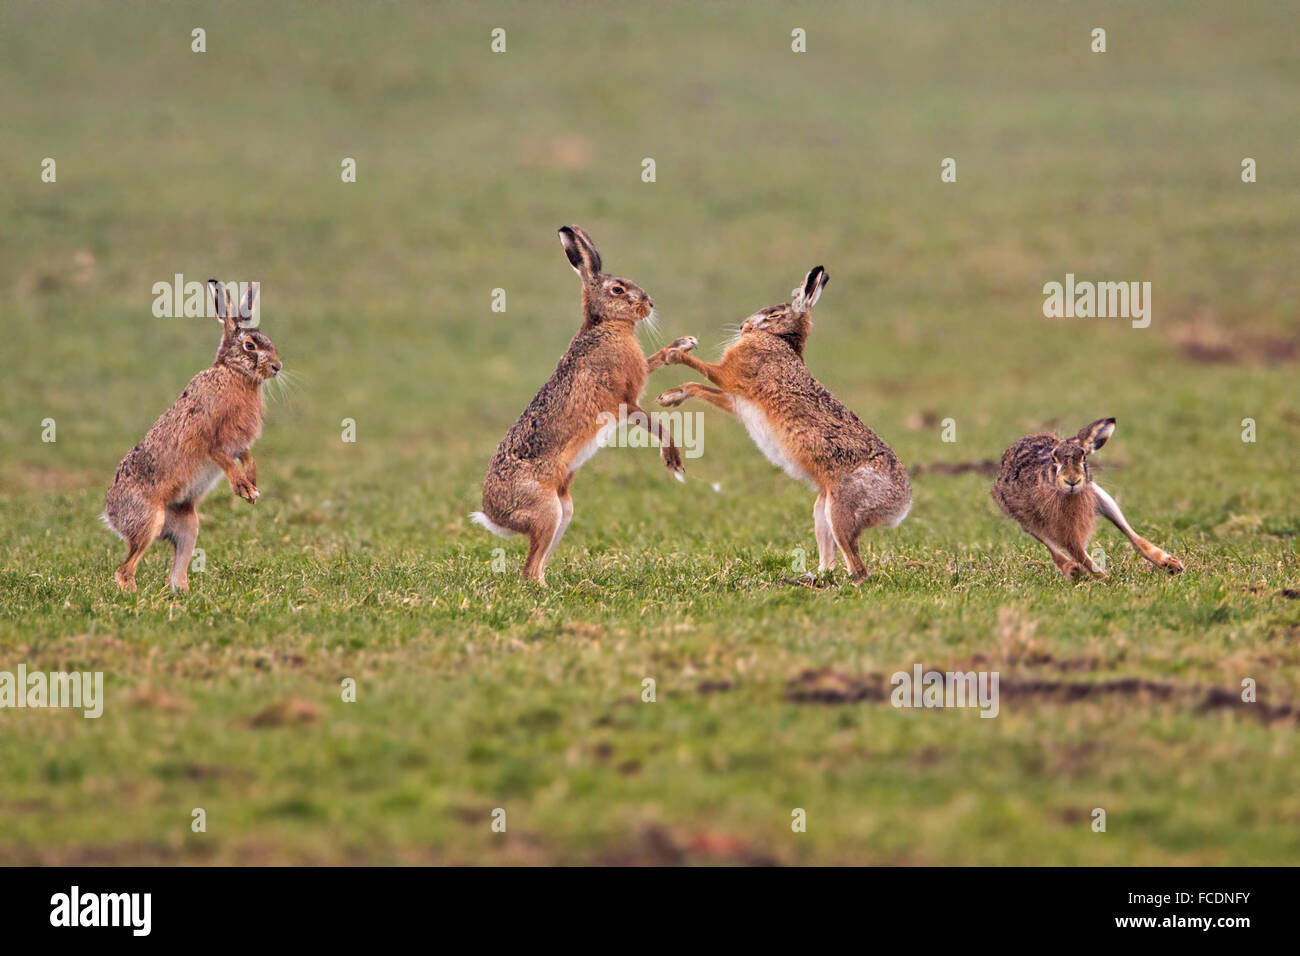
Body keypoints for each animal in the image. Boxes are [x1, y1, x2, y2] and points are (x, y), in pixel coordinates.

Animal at [102, 280, 280, 592]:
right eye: (250, 346)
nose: (277, 367)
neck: (234, 374)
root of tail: (111, 515)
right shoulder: (208, 437)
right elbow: (223, 458)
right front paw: (244, 489)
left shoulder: (239, 443)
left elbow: (247, 457)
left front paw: (253, 483)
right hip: (149, 521)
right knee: (125, 569)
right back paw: (133, 594)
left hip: (188, 526)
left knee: (176, 570)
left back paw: (183, 592)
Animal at [472, 226, 695, 585]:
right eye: (618, 289)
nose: (649, 302)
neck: (605, 325)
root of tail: (496, 517)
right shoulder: (625, 401)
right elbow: (654, 423)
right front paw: (673, 459)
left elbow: (655, 360)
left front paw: (683, 344)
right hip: (546, 511)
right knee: (529, 569)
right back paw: (544, 589)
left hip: (564, 510)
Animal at [656, 266, 911, 584]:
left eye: (774, 314)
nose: (743, 327)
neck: (781, 340)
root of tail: (901, 505)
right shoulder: (737, 401)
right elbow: (697, 387)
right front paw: (670, 397)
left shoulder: (730, 375)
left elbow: (703, 370)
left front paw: (674, 354)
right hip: (822, 510)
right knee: (830, 557)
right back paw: (811, 578)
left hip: (842, 511)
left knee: (858, 568)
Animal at [991, 417, 1184, 578]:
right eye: (1054, 459)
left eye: (1083, 456)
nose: (1072, 480)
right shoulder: (1063, 530)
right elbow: (1080, 554)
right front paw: (1105, 579)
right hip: (1027, 521)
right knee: (1052, 547)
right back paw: (1074, 571)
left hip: (1101, 497)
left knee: (1128, 531)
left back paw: (1171, 564)